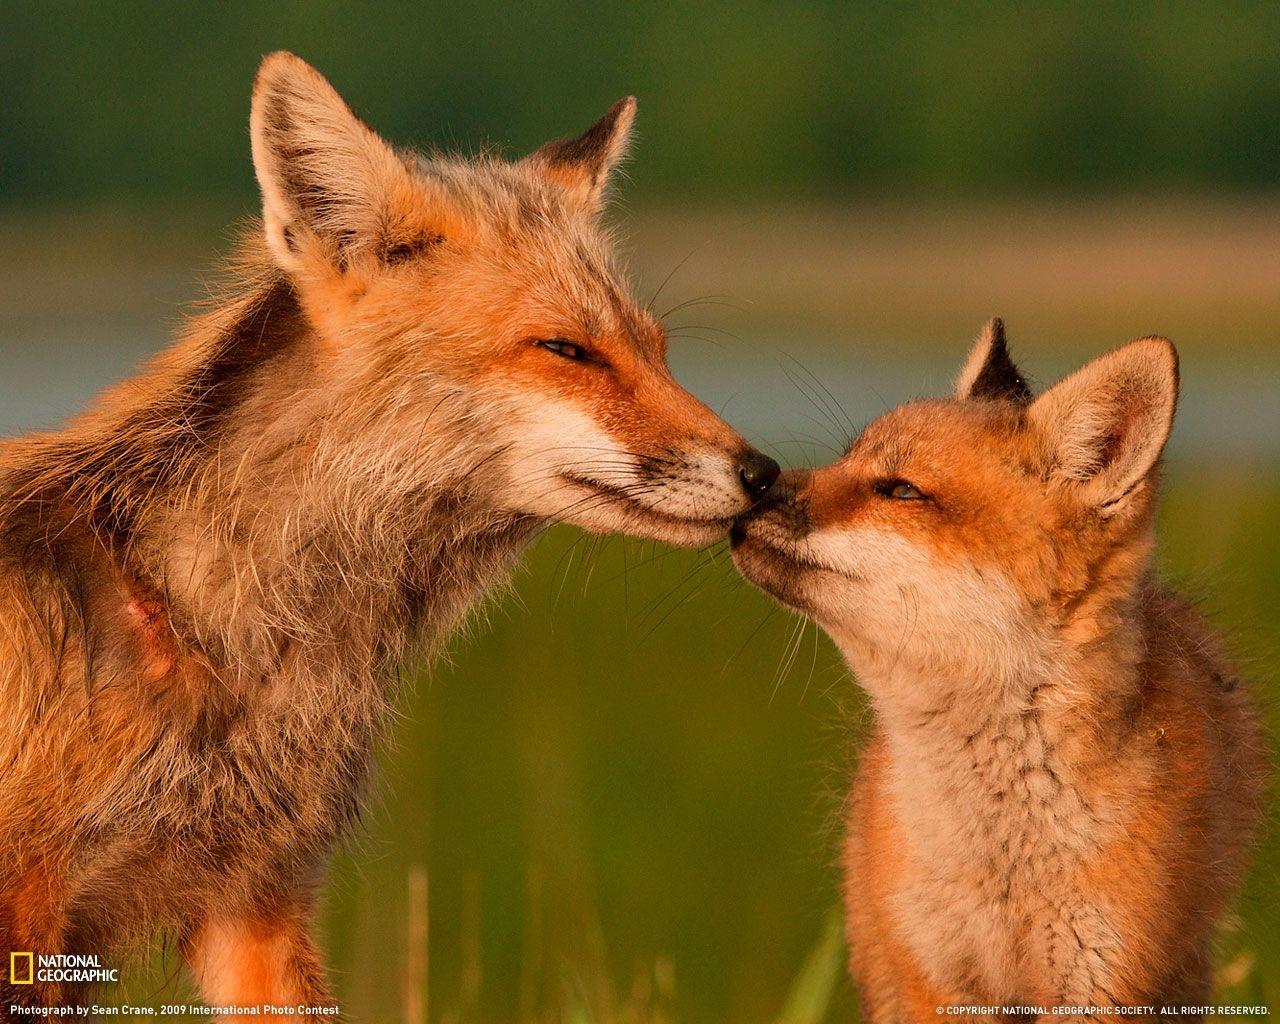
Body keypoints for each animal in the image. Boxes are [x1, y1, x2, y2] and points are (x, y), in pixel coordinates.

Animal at [732, 321, 1265, 1020]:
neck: (1002, 866)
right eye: (844, 460)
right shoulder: (935, 978)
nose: (751, 483)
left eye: (900, 490)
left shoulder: (1099, 982)